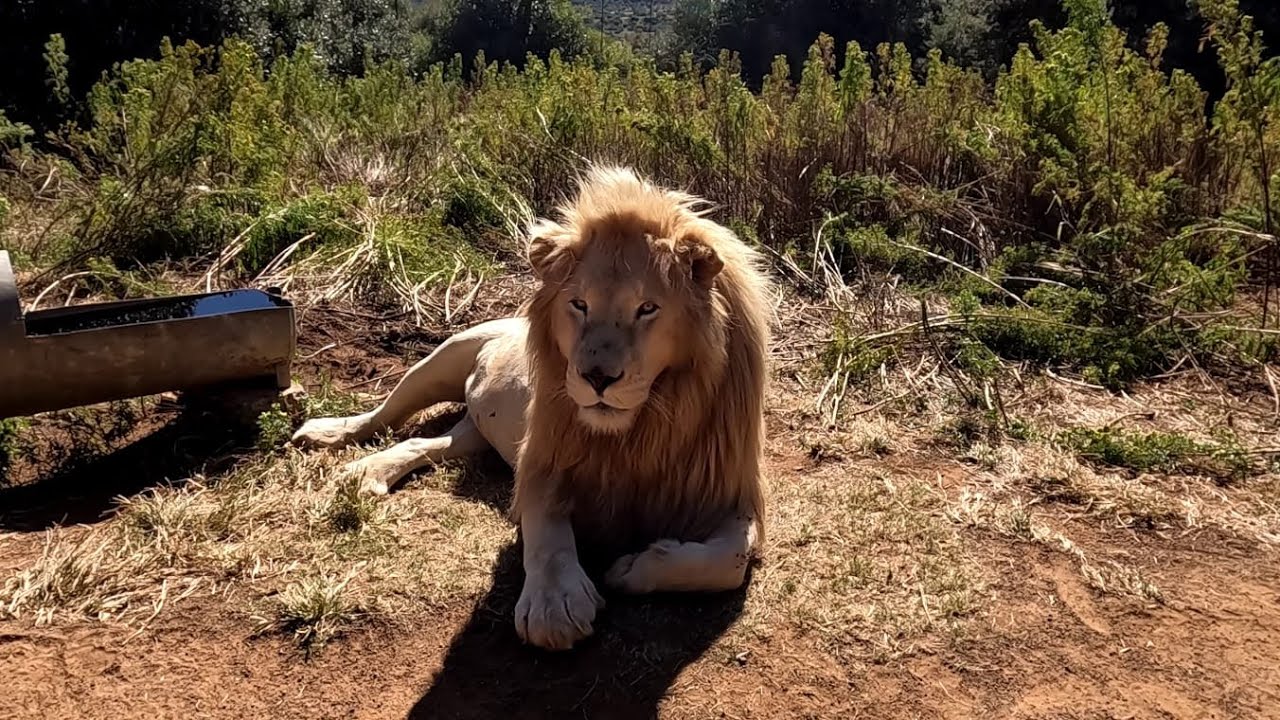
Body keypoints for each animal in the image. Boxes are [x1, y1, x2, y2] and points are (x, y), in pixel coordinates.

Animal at [291, 165, 772, 651]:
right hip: (440, 359)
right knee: (384, 413)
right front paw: (554, 604)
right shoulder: (546, 462)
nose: (597, 378)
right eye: (579, 304)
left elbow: (730, 559)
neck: (641, 430)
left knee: (425, 444)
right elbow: (547, 534)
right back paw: (330, 436)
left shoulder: (731, 493)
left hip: (475, 431)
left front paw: (633, 568)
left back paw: (370, 473)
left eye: (648, 308)